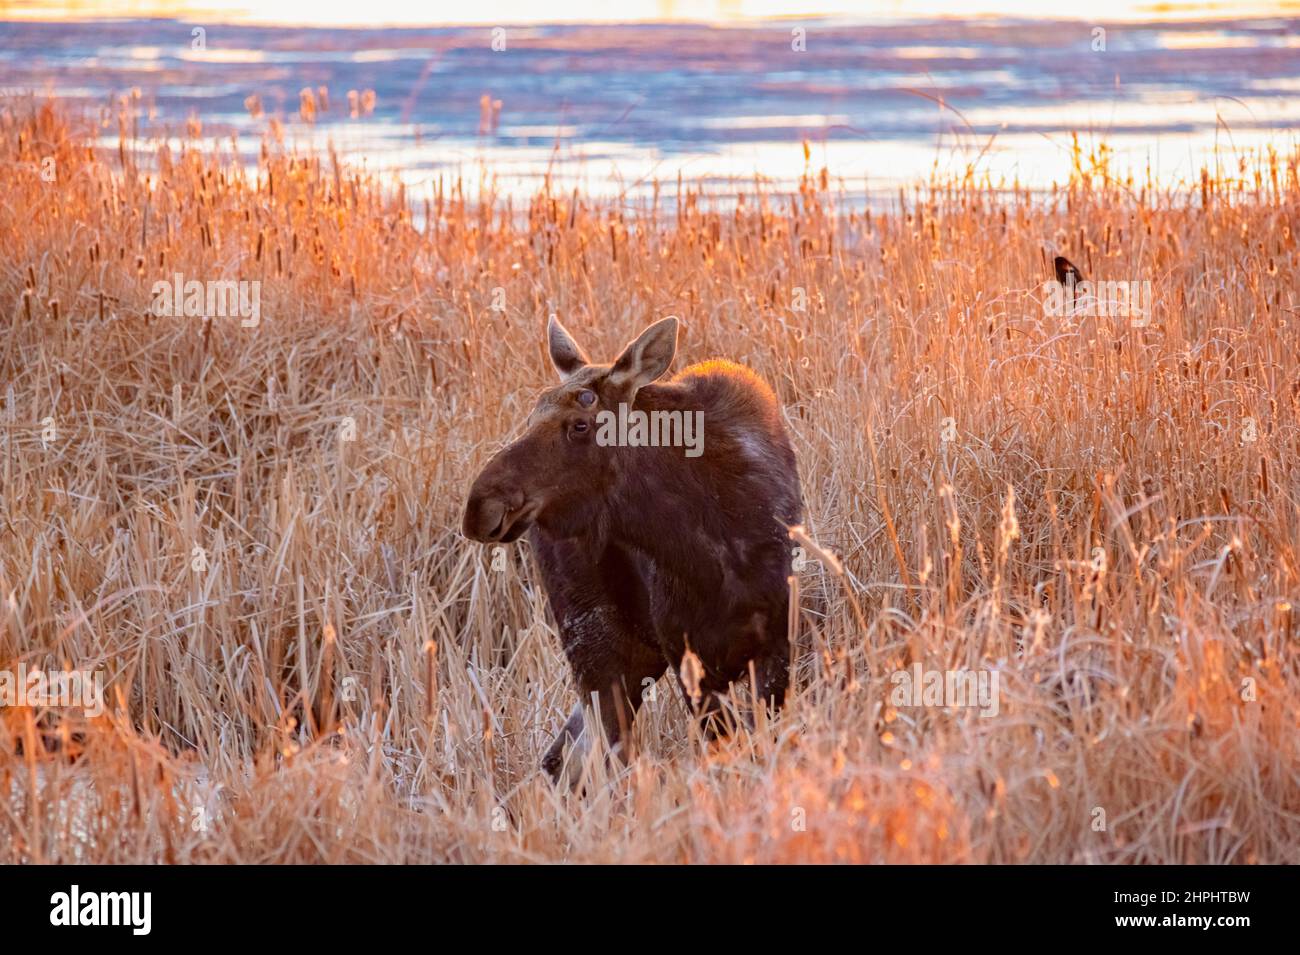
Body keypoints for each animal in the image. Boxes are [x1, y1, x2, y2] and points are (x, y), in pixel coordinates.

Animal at [462, 315, 803, 786]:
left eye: (580, 424)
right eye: (531, 416)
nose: (480, 507)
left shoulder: (776, 645)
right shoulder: (689, 661)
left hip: (630, 655)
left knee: (565, 755)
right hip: (600, 645)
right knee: (586, 756)